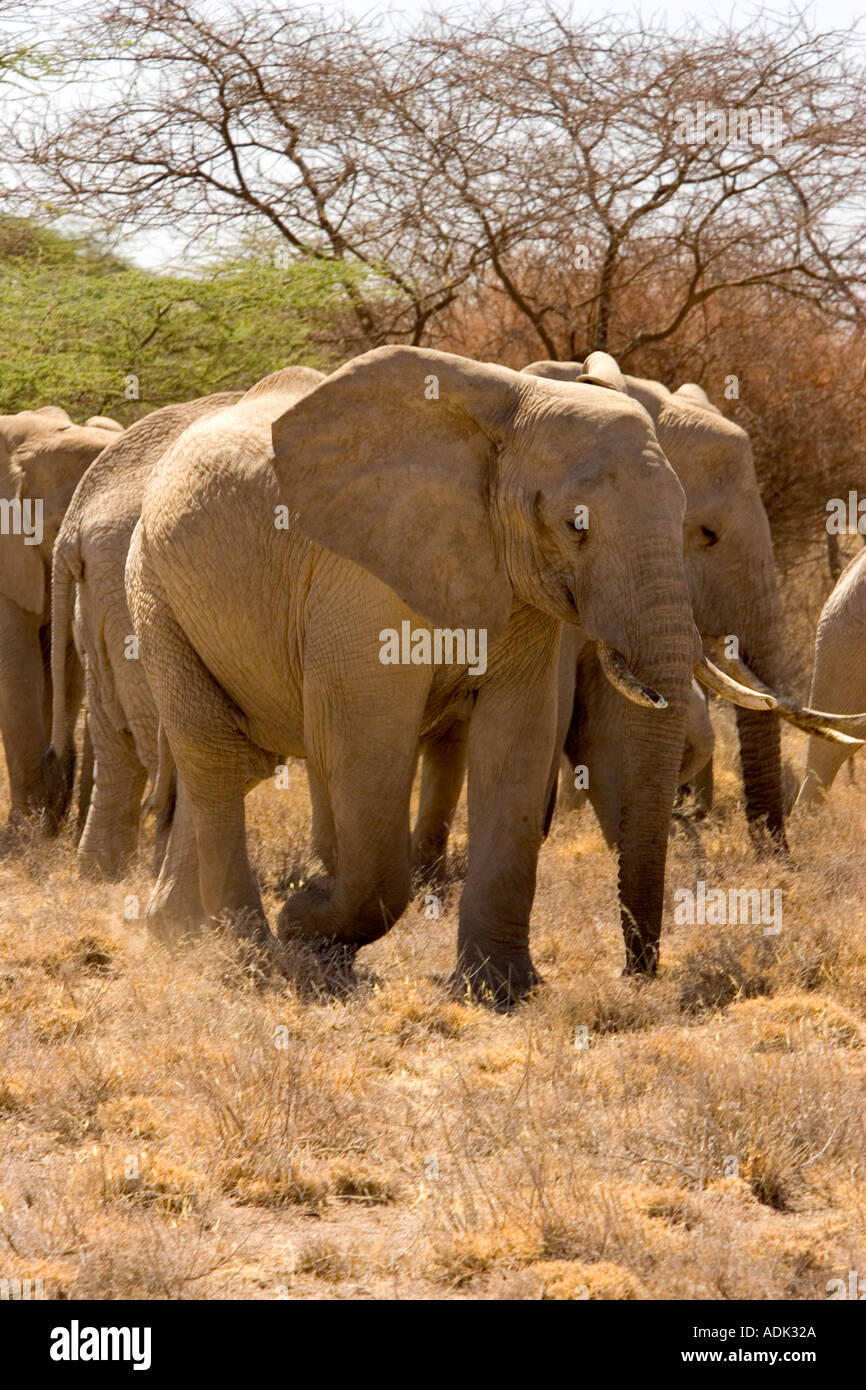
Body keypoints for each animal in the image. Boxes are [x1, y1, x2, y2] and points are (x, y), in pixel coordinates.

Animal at [125, 345, 714, 1001]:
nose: (636, 970)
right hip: (153, 587)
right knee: (217, 755)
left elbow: (519, 738)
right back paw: (252, 956)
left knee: (228, 761)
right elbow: (366, 742)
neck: (503, 417)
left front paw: (501, 992)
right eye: (575, 525)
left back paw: (175, 933)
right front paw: (305, 920)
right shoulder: (360, 577)